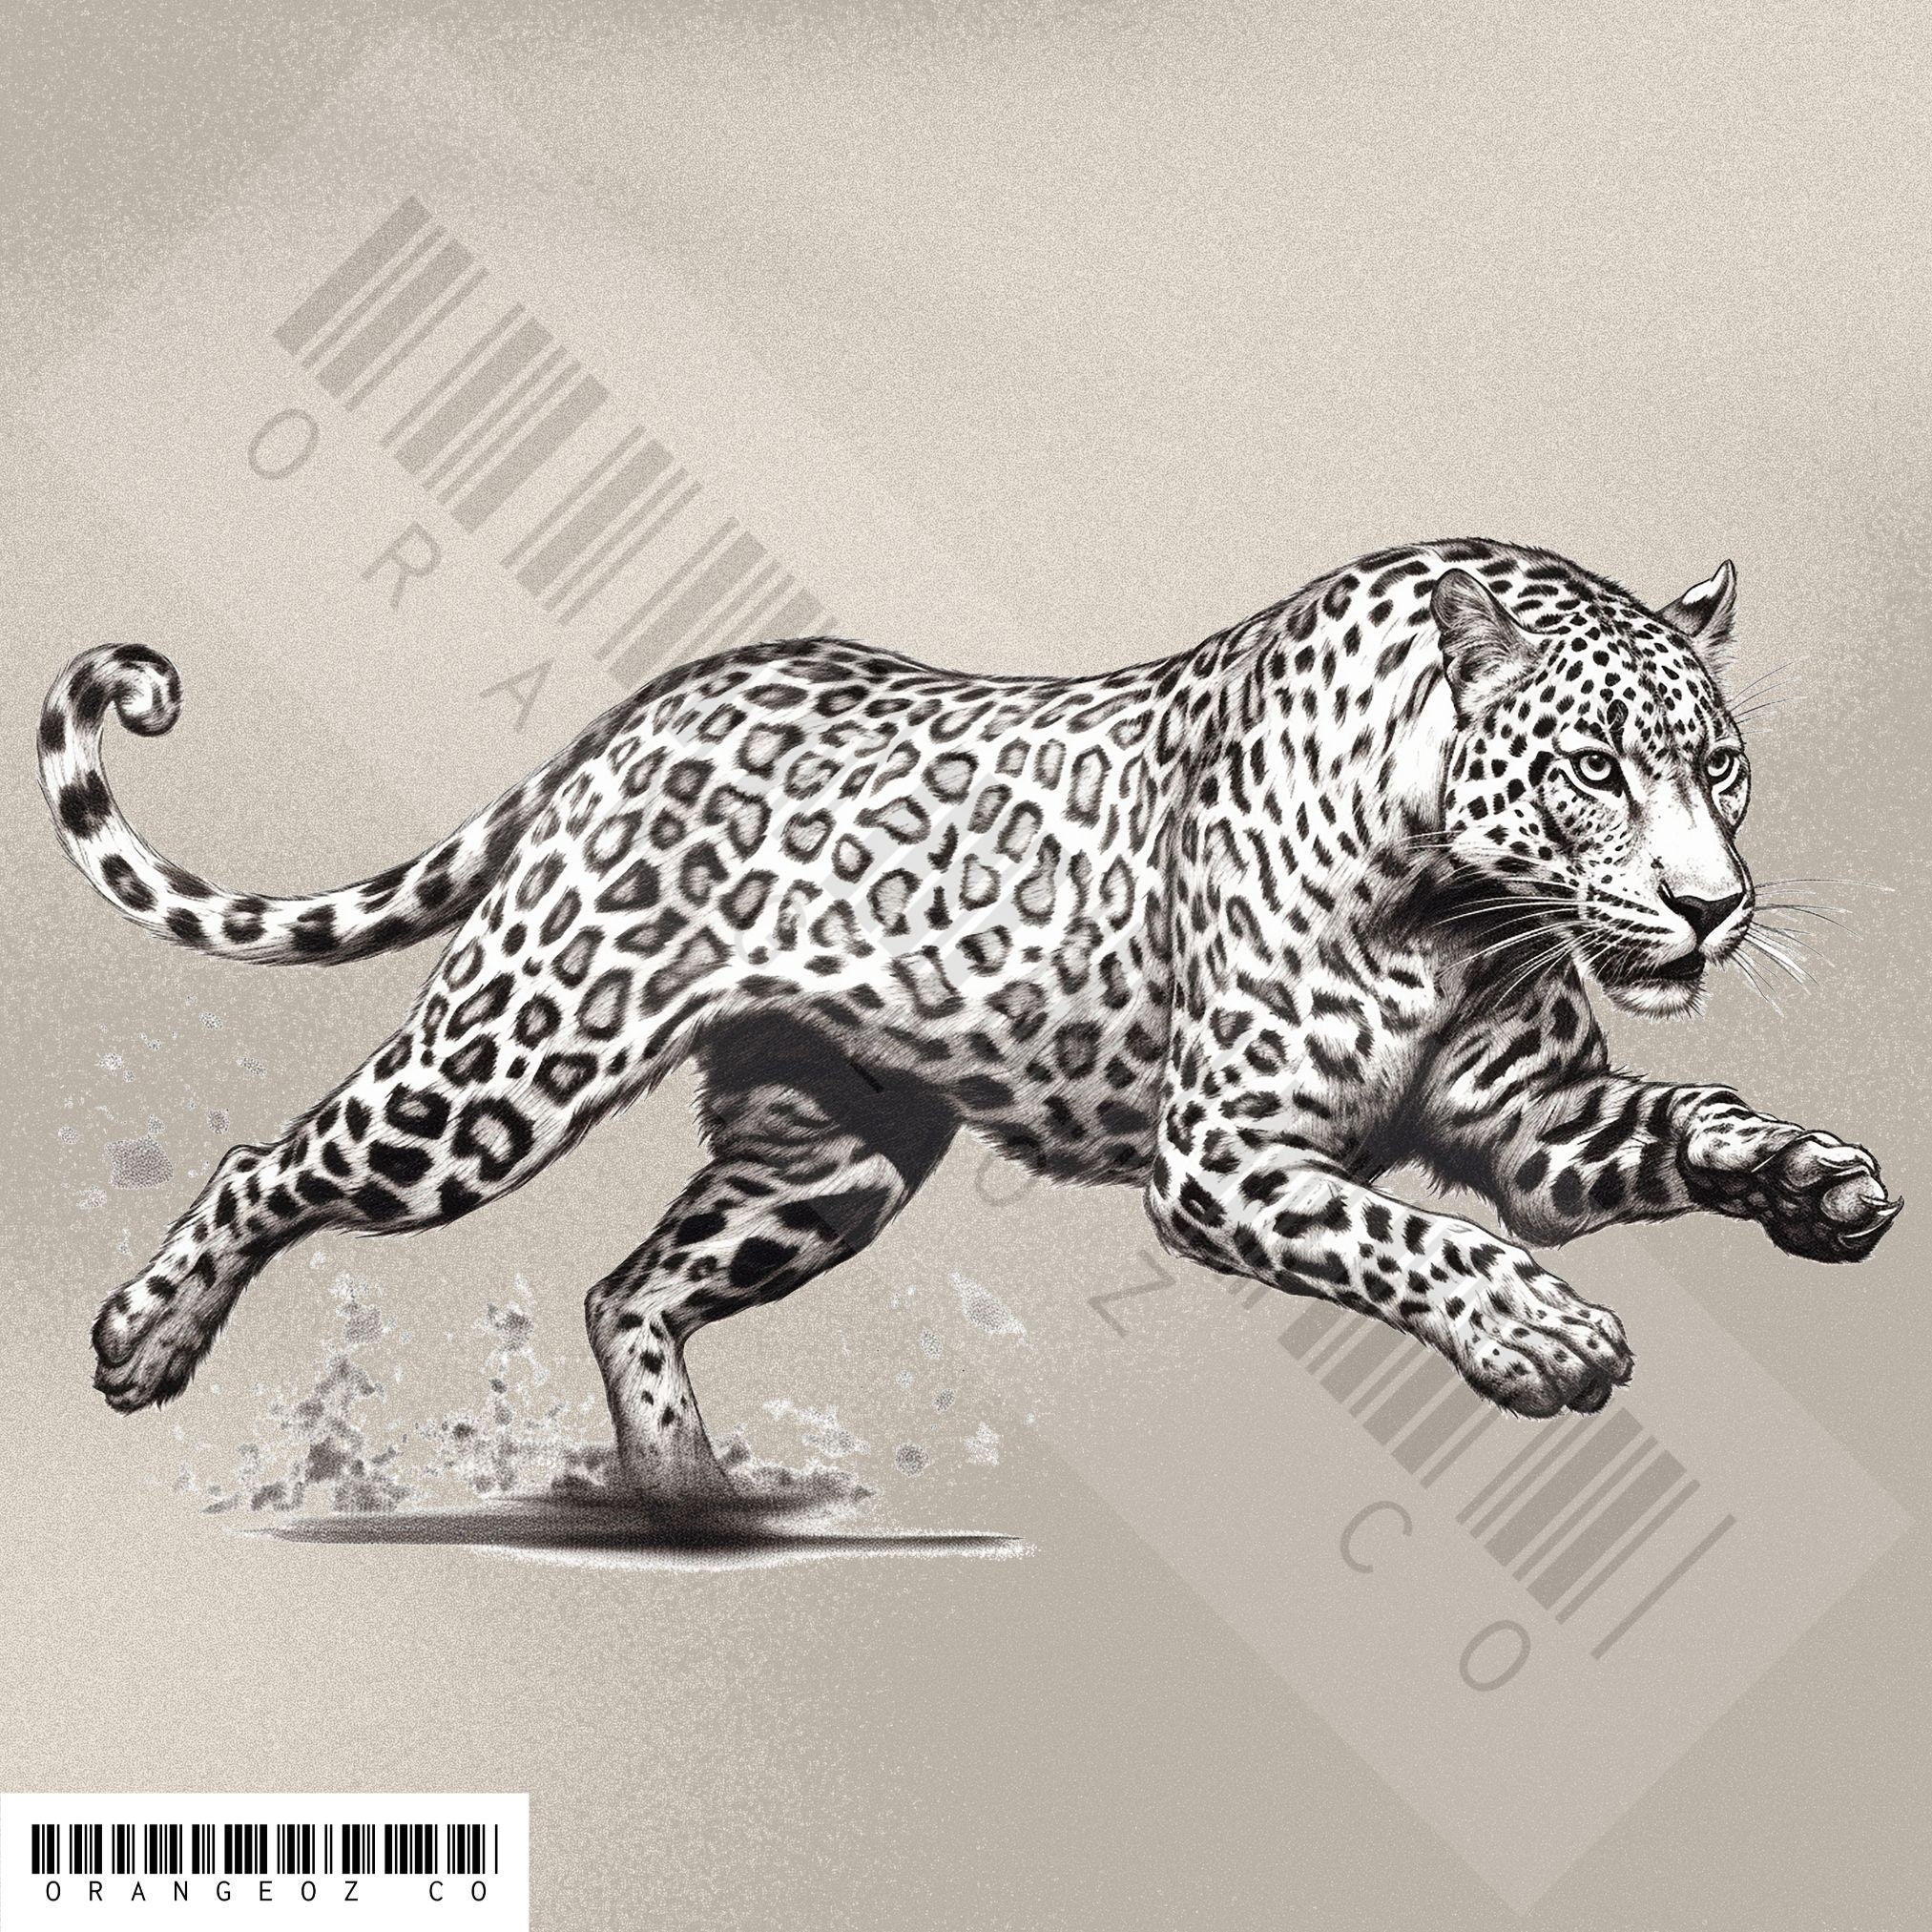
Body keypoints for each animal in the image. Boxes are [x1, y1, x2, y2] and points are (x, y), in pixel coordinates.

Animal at [41, 537, 1899, 1516]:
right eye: (1593, 767)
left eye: (1721, 767)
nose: (1714, 906)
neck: (1454, 905)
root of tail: (635, 716)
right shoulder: (1224, 1158)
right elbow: (1414, 1237)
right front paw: (1541, 1335)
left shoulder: (1537, 1125)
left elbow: (1687, 1125)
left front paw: (1822, 1184)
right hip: (507, 1066)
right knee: (271, 1160)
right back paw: (141, 1339)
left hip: (827, 1159)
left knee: (625, 1285)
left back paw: (691, 1497)